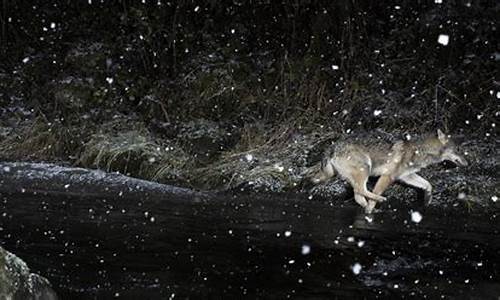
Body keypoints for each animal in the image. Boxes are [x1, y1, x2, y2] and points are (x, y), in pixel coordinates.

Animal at [312, 130, 468, 214]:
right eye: (458, 150)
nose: (467, 163)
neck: (420, 151)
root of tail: (333, 147)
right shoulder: (388, 176)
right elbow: (375, 194)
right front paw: (371, 209)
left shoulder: (406, 176)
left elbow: (428, 184)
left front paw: (428, 199)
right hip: (365, 169)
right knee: (361, 191)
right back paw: (379, 200)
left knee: (358, 196)